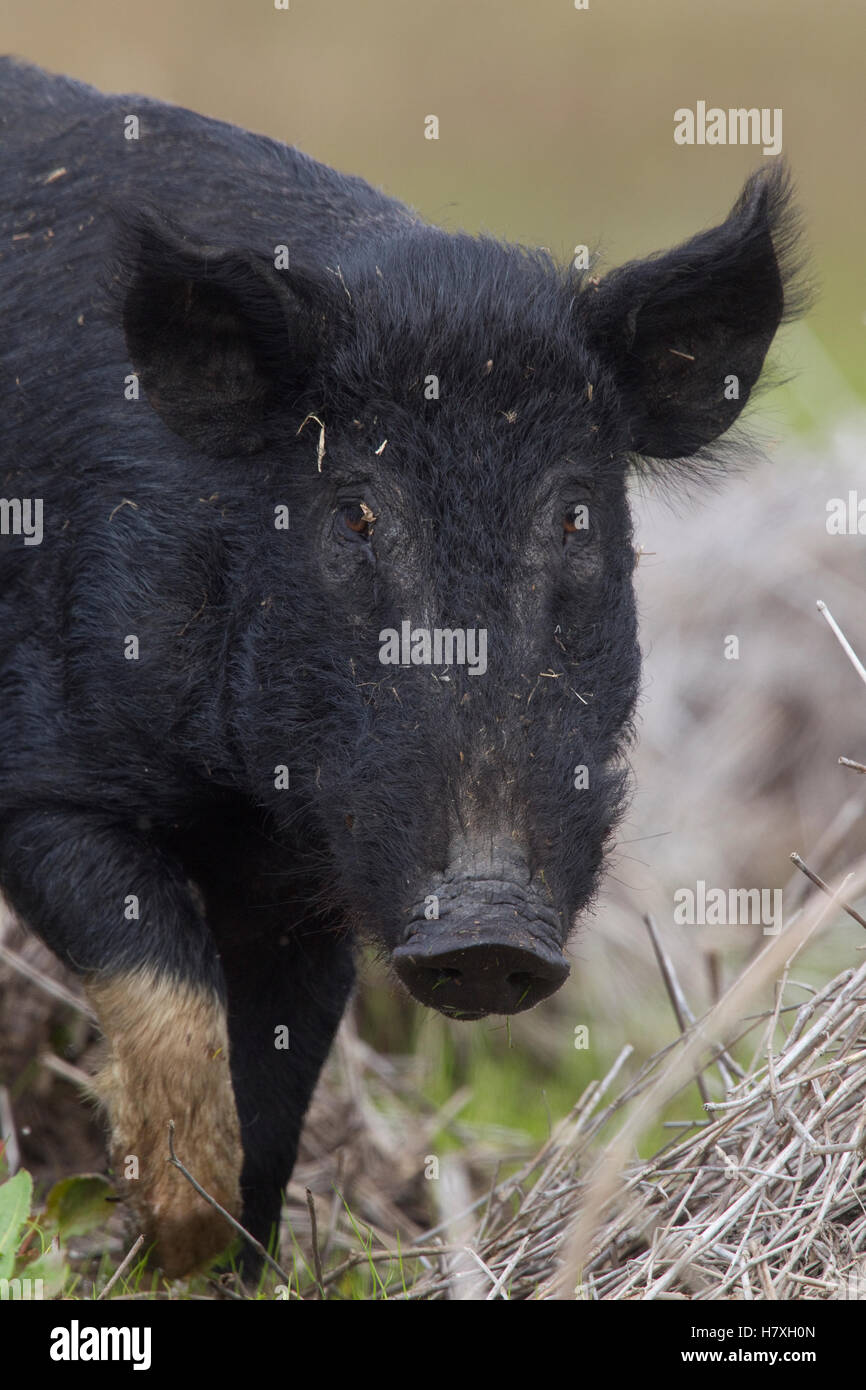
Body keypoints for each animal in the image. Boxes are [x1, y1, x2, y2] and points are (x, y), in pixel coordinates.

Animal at [0, 58, 805, 1277]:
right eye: (356, 514)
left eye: (576, 516)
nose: (486, 931)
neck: (243, 800)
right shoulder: (40, 778)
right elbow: (166, 981)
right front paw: (175, 1233)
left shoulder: (304, 889)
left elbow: (276, 1080)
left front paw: (228, 1262)